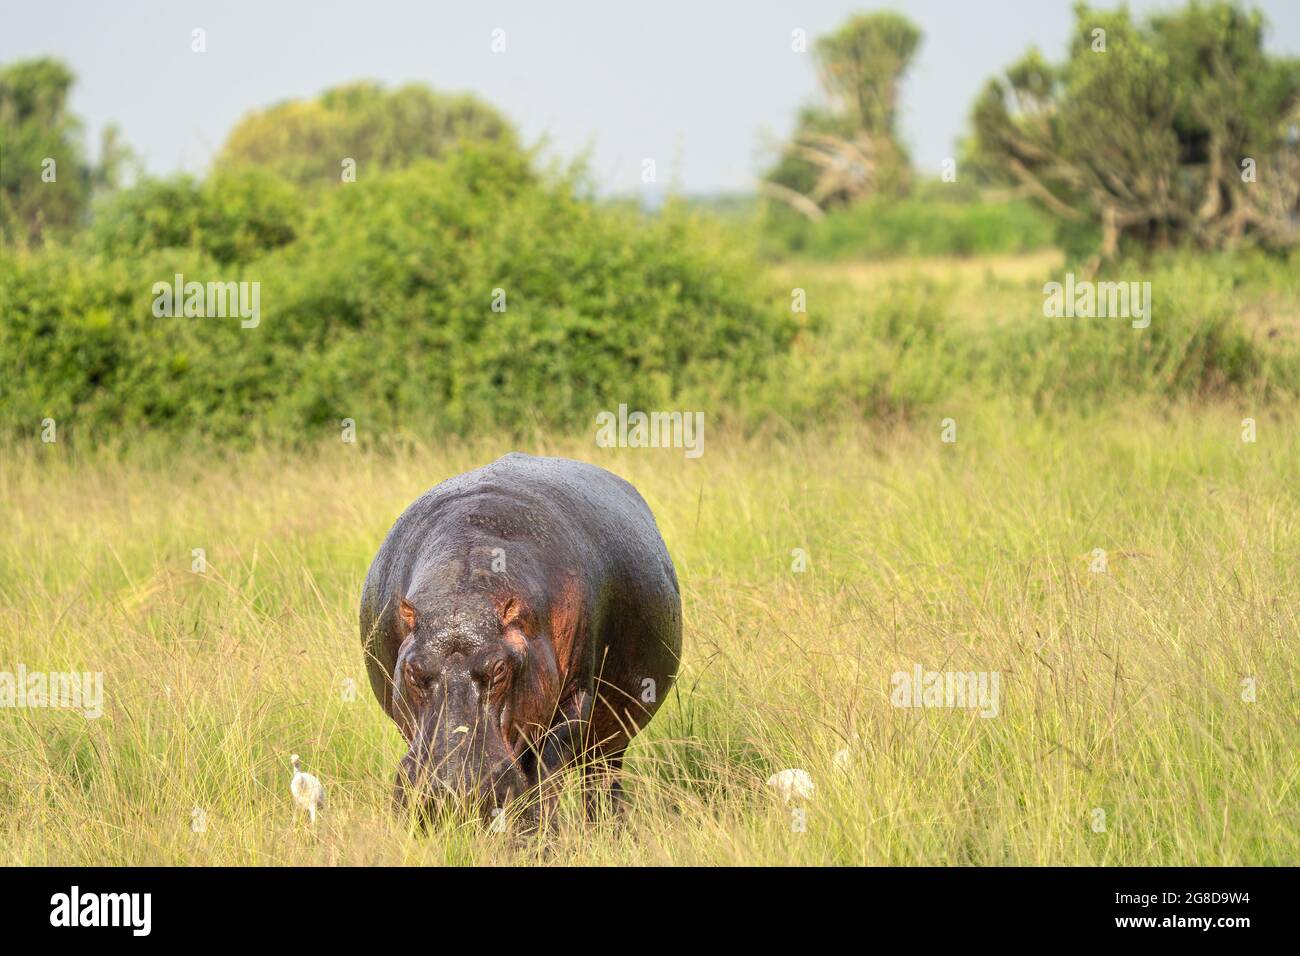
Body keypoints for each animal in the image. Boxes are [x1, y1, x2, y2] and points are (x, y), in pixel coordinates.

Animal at [360, 453, 682, 824]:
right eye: (412, 670)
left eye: (500, 669)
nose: (451, 791)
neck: (465, 592)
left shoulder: (576, 698)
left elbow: (543, 771)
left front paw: (538, 834)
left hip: (612, 735)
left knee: (599, 779)